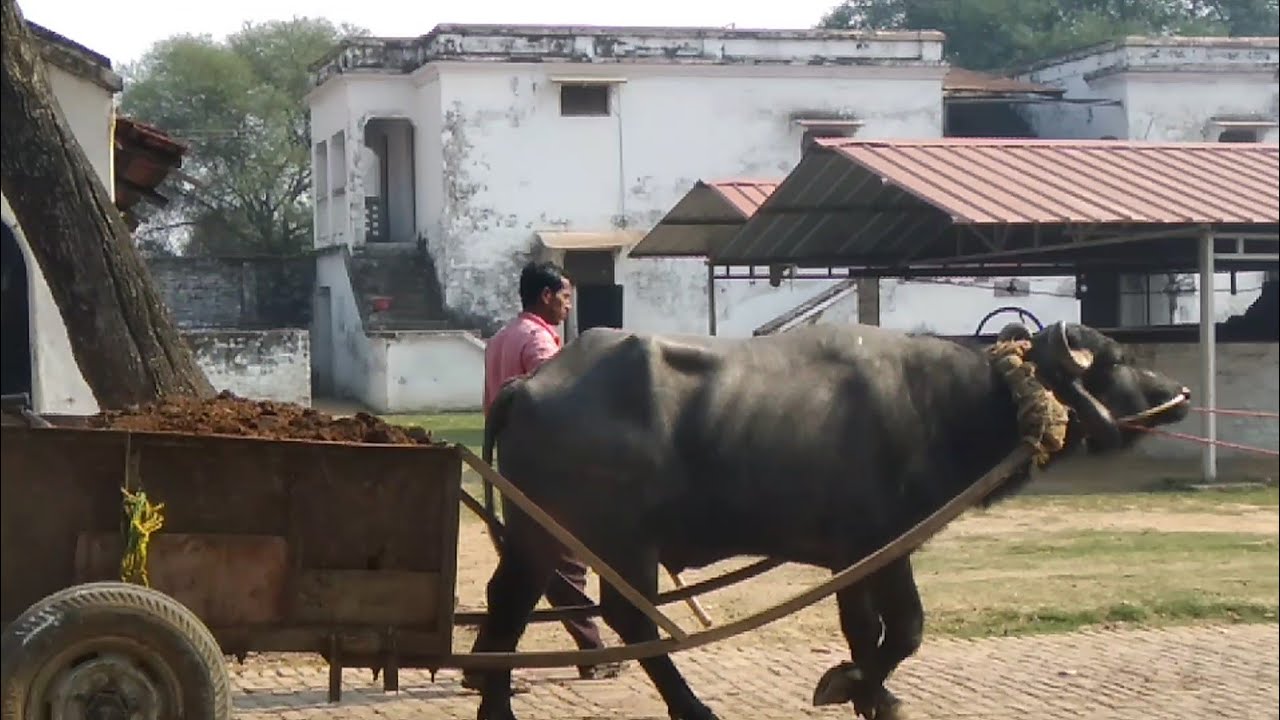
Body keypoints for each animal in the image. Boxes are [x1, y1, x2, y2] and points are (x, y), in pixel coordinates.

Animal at [470, 320, 1191, 720]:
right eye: (1117, 359)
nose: (1179, 394)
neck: (946, 404)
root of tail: (530, 385)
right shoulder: (884, 544)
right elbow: (906, 628)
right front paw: (848, 685)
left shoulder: (850, 557)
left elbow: (863, 628)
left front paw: (872, 695)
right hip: (619, 543)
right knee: (629, 620)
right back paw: (693, 708)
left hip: (536, 536)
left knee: (507, 605)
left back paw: (495, 705)